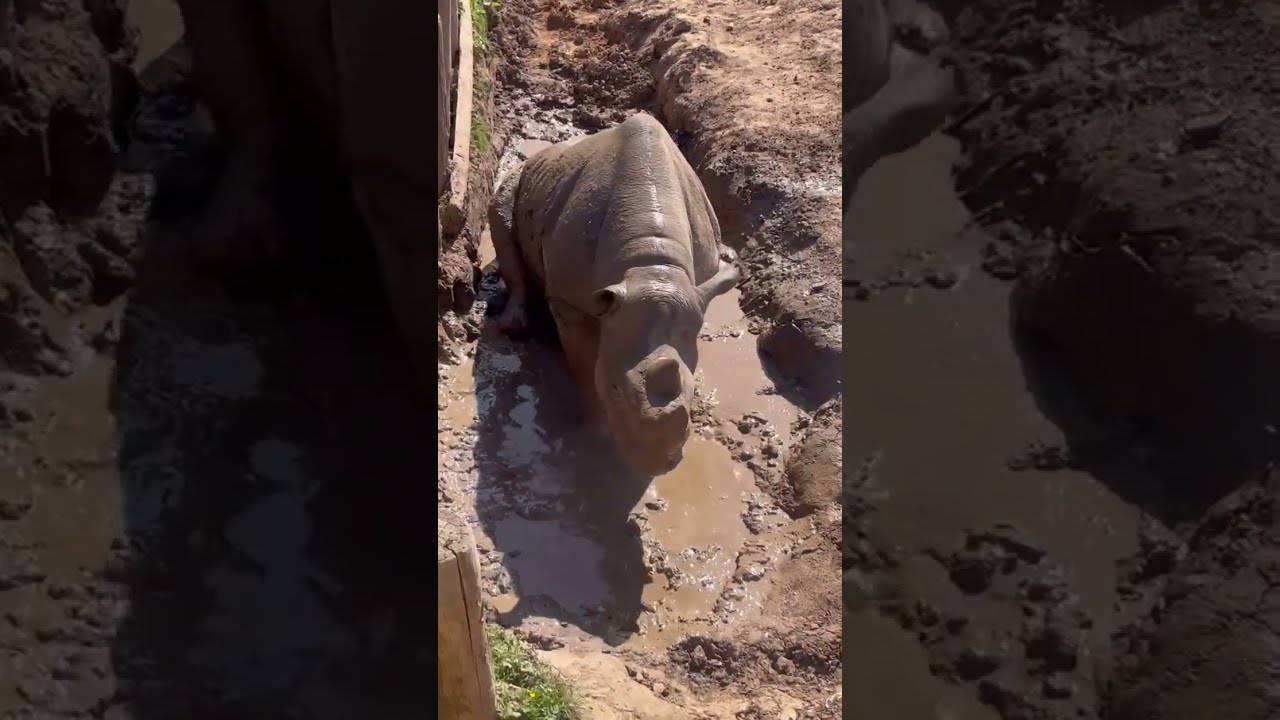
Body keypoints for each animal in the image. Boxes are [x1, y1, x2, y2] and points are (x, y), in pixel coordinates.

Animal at [489, 113, 740, 477]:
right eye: (616, 390)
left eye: (693, 393)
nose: (659, 464)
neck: (652, 263)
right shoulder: (570, 302)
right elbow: (584, 365)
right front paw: (595, 435)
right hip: (518, 178)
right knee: (500, 208)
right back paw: (514, 327)